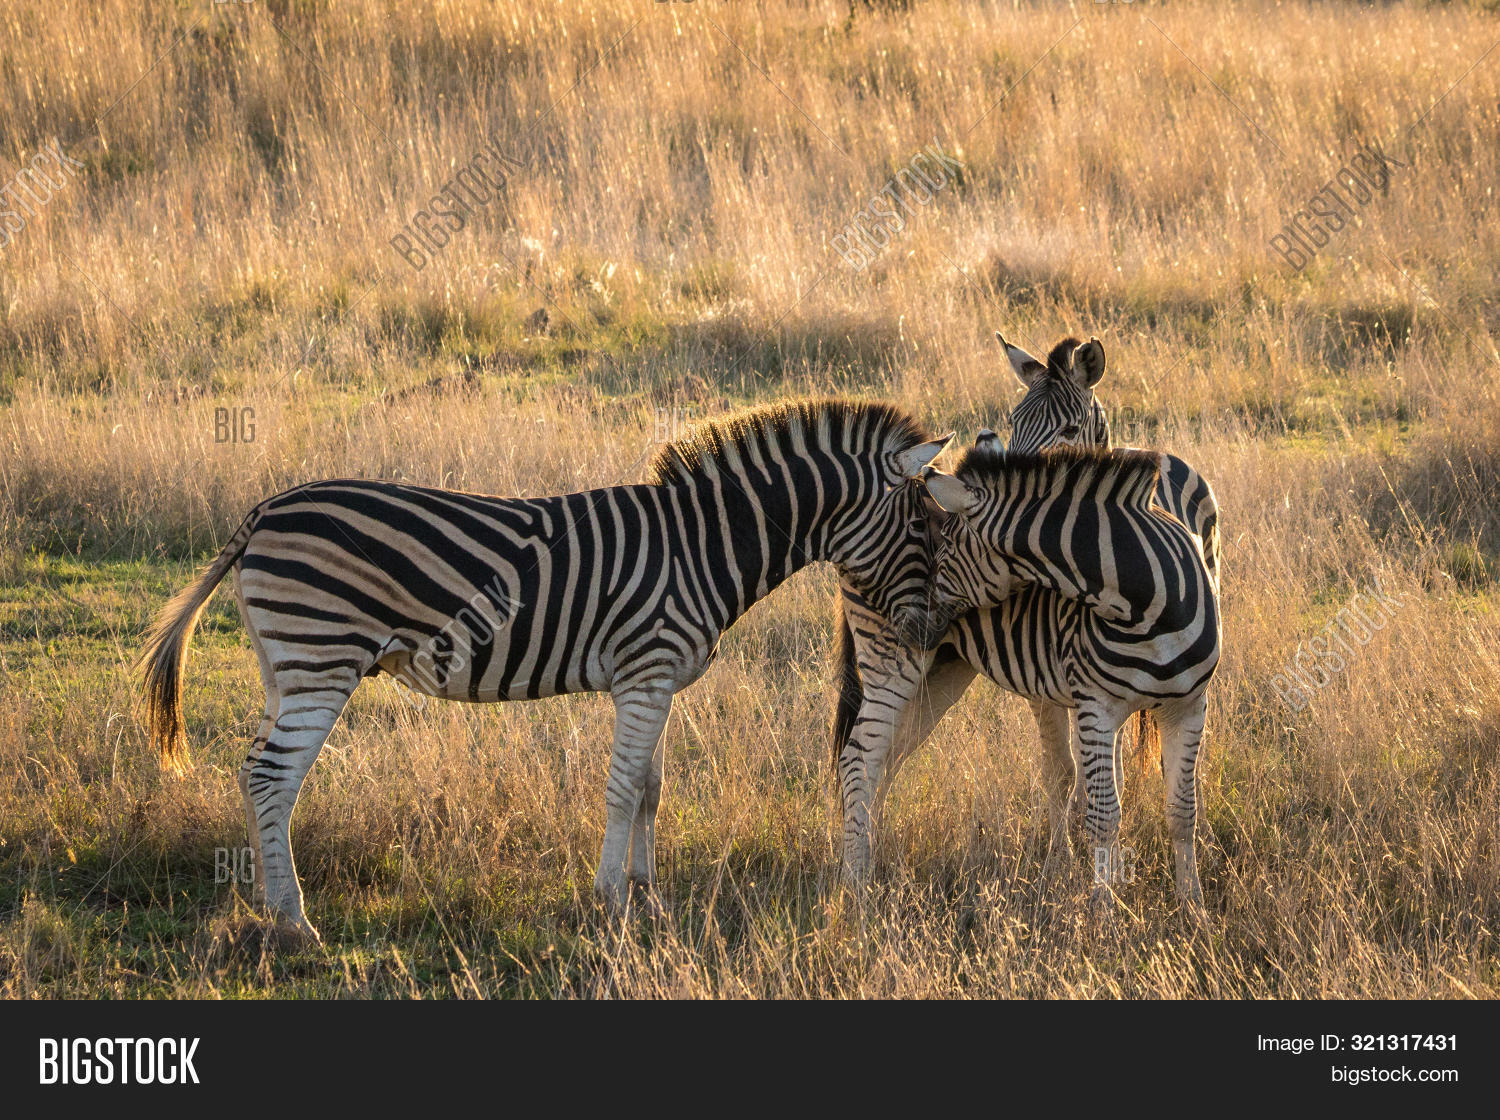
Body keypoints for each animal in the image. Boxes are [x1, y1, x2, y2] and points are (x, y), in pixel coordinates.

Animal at [139, 400, 954, 938]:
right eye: (924, 527)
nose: (928, 633)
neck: (704, 545)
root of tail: (266, 510)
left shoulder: (657, 681)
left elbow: (652, 789)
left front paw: (648, 896)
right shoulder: (645, 672)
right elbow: (623, 790)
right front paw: (610, 901)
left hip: (284, 668)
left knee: (252, 770)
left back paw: (265, 902)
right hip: (320, 659)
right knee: (273, 776)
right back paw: (294, 920)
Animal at [921, 444, 1220, 904]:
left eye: (949, 543)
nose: (922, 621)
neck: (1149, 605)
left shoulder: (1189, 706)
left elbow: (1181, 810)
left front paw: (1193, 906)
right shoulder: (1097, 706)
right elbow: (1104, 816)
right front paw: (1103, 908)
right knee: (1068, 775)